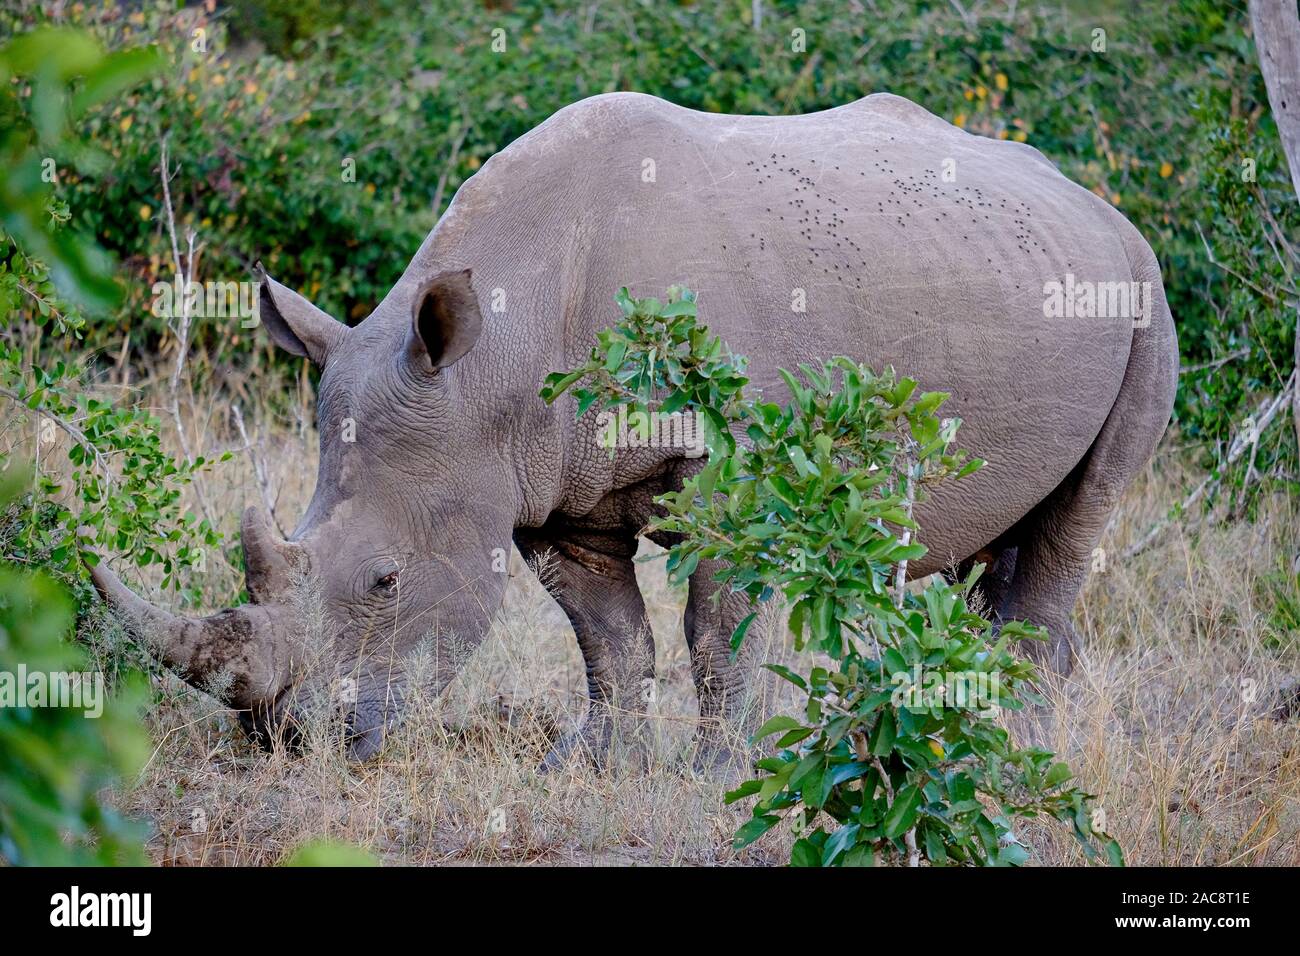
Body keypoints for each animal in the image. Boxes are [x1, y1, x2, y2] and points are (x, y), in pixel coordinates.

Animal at [91, 92, 1178, 764]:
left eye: (386, 580)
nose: (282, 741)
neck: (495, 356)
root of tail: (1095, 201)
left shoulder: (738, 456)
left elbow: (716, 626)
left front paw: (719, 775)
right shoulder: (539, 483)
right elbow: (607, 636)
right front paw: (588, 764)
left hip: (1144, 295)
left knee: (1080, 515)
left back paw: (1013, 749)